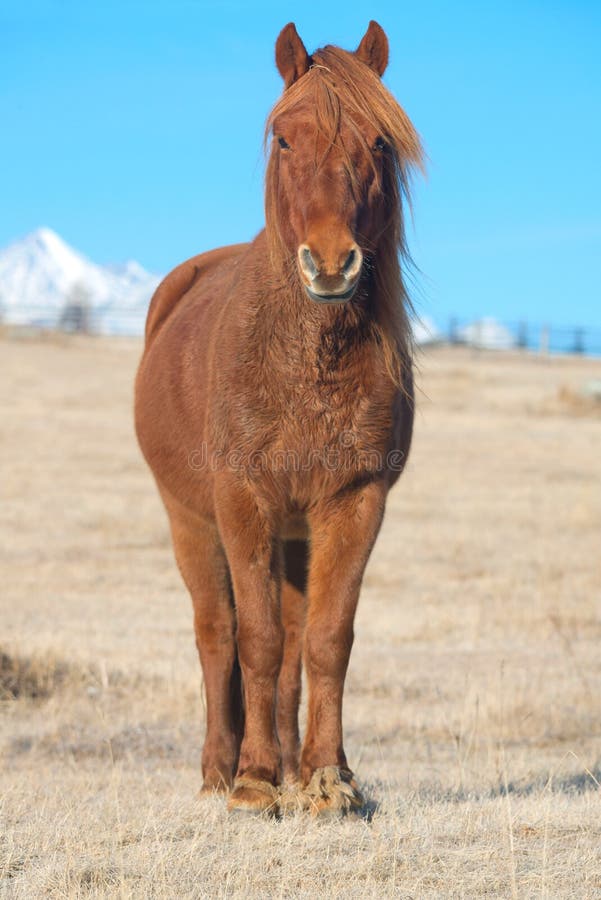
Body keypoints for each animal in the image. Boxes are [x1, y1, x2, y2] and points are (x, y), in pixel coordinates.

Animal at [135, 20, 423, 815]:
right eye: (287, 139)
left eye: (378, 141)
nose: (330, 263)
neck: (304, 361)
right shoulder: (243, 499)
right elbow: (254, 639)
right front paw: (254, 780)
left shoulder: (352, 502)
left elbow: (324, 639)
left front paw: (328, 779)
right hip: (188, 517)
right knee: (216, 634)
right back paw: (218, 772)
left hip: (295, 534)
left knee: (294, 642)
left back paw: (296, 770)